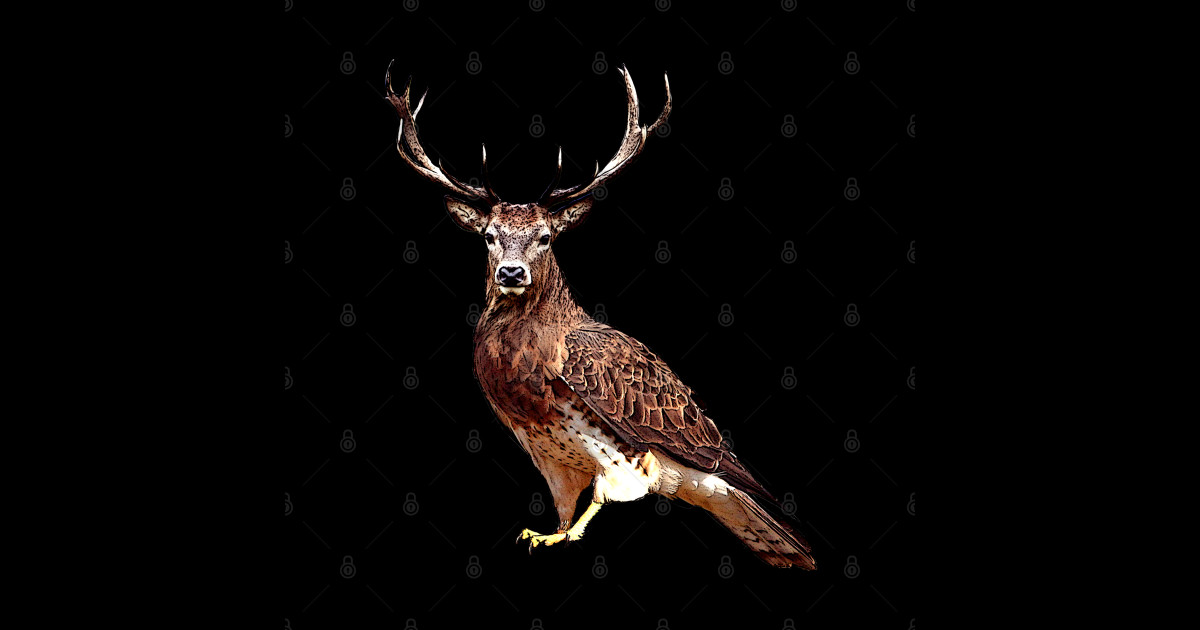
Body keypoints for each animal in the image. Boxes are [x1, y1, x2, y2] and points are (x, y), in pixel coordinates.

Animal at [384, 61, 815, 569]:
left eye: (545, 237)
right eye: (490, 237)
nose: (511, 272)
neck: (519, 351)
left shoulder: (617, 452)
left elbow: (601, 496)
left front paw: (566, 536)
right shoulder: (546, 454)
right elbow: (565, 502)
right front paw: (551, 531)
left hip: (705, 456)